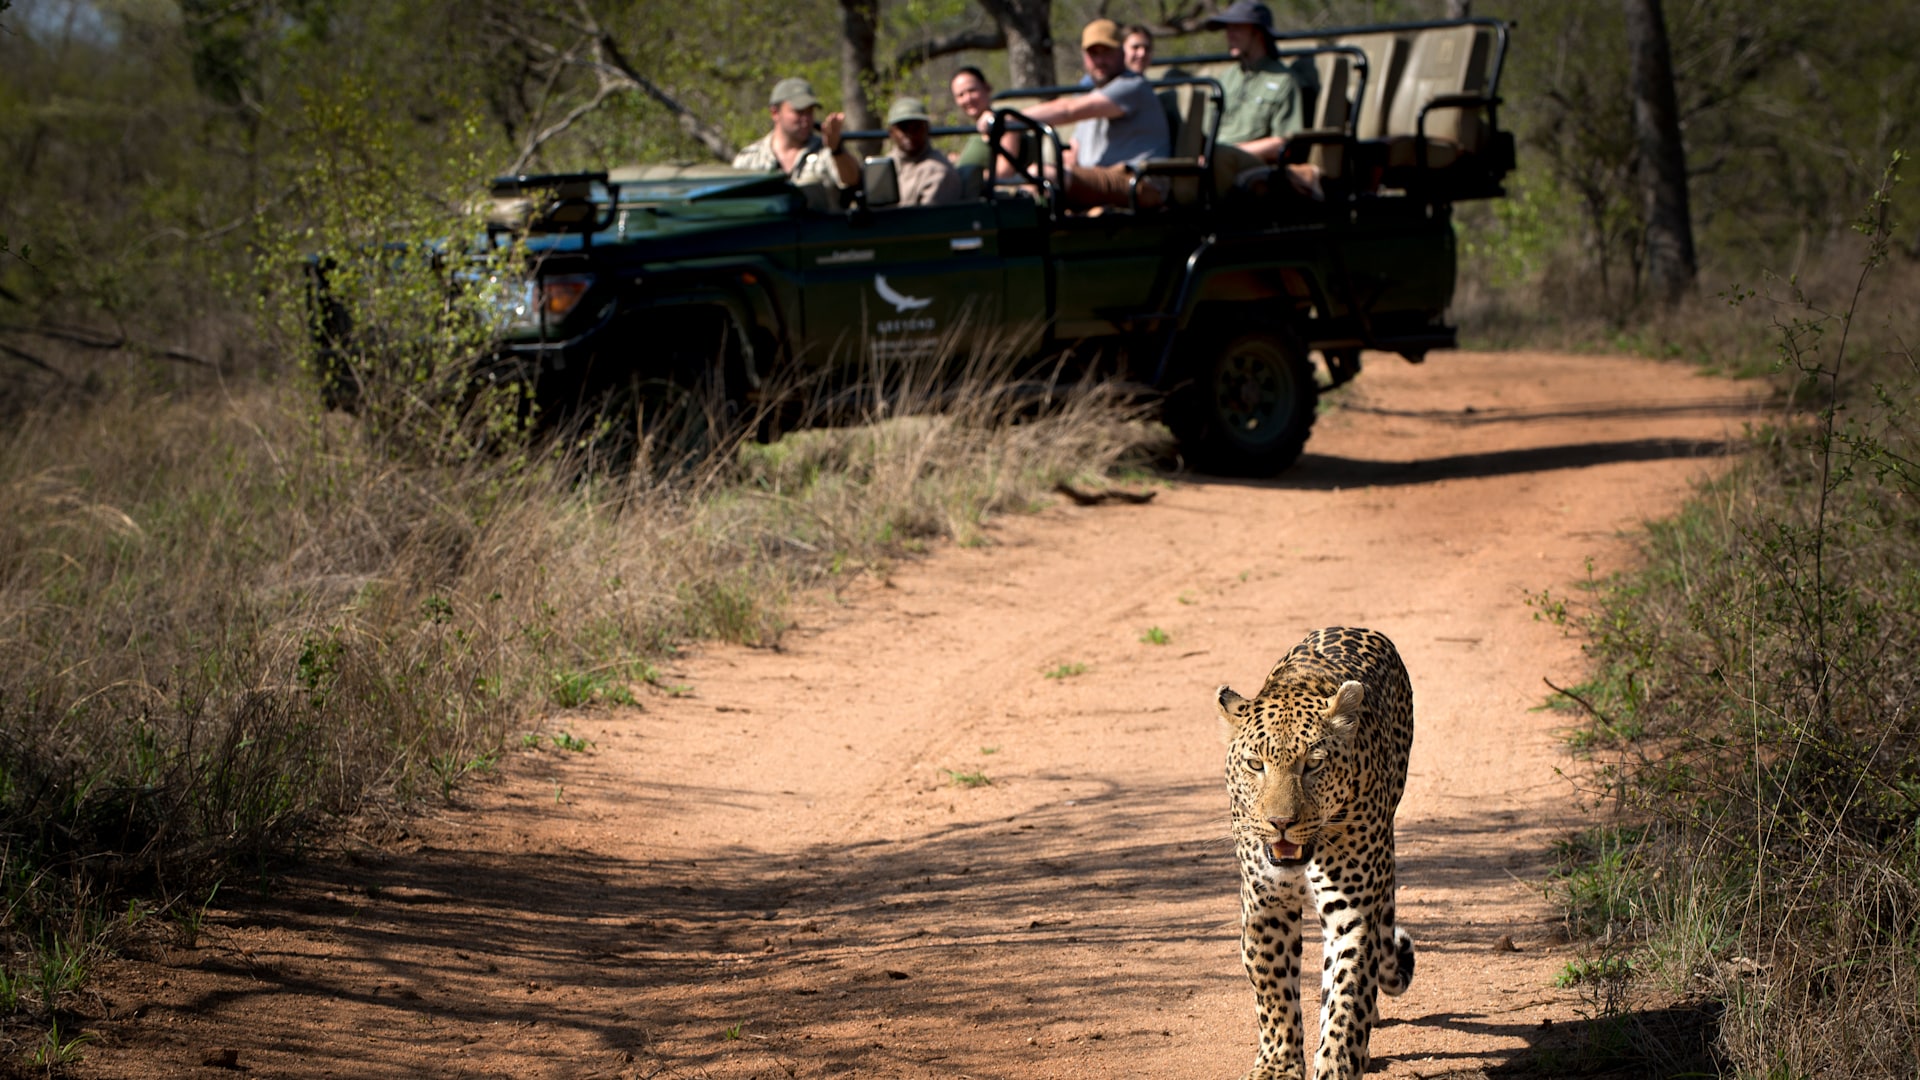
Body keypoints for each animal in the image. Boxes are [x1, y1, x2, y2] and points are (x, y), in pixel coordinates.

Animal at [1215, 626, 1416, 1080]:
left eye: (1313, 764)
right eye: (1255, 765)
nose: (1280, 822)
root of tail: (1357, 627)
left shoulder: (1352, 915)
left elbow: (1345, 1002)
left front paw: (1337, 1065)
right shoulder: (1265, 905)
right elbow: (1272, 990)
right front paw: (1277, 1065)